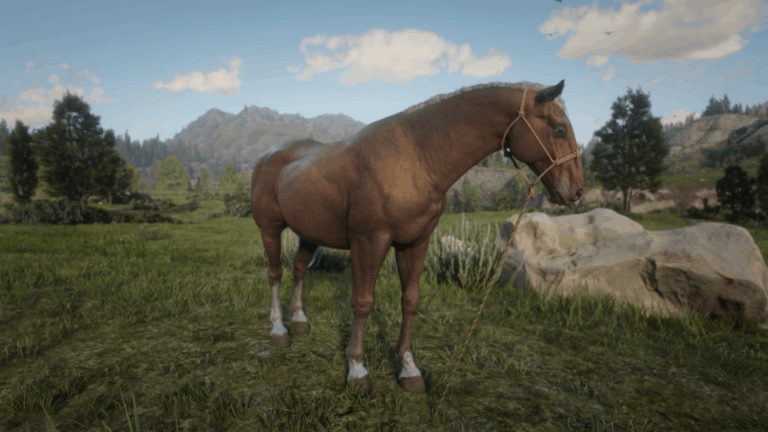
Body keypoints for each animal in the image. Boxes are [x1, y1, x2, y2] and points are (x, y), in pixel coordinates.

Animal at [250, 80, 584, 394]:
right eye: (559, 129)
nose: (577, 190)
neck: (417, 159)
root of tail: (267, 156)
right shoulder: (370, 241)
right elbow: (362, 302)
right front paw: (357, 369)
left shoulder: (415, 243)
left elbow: (410, 300)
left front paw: (408, 368)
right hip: (270, 230)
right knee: (275, 273)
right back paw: (279, 330)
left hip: (309, 233)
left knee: (298, 269)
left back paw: (299, 320)